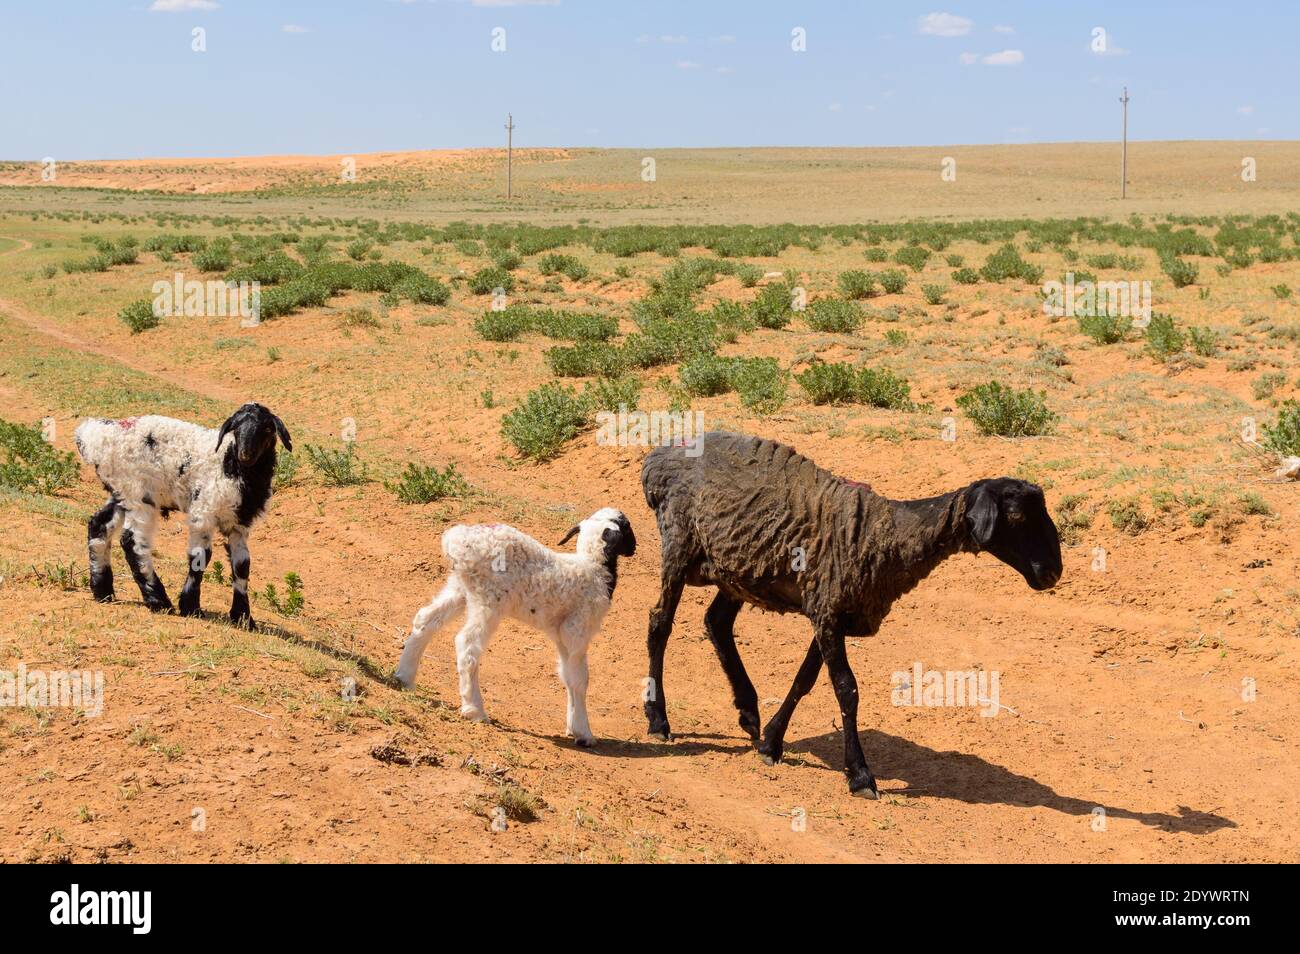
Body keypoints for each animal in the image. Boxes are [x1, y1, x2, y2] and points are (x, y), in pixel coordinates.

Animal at [74, 403, 292, 628]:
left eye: (267, 429)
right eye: (236, 427)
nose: (245, 454)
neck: (230, 463)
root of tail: (97, 436)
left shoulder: (239, 525)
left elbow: (242, 565)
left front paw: (243, 617)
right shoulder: (203, 512)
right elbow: (200, 556)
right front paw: (191, 606)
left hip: (121, 494)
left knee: (99, 525)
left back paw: (103, 591)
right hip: (138, 494)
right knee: (132, 543)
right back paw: (158, 600)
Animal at [394, 508, 636, 747]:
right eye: (626, 526)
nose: (634, 548)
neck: (594, 566)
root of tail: (457, 540)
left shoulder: (561, 636)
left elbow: (566, 675)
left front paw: (572, 726)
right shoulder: (577, 630)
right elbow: (580, 680)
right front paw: (584, 733)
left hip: (460, 589)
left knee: (425, 620)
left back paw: (404, 677)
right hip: (488, 599)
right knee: (467, 645)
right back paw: (474, 710)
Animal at [640, 431, 1062, 797]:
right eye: (1018, 517)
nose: (1052, 573)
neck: (884, 534)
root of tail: (658, 458)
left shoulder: (831, 610)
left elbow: (804, 681)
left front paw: (772, 742)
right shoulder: (828, 613)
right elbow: (847, 689)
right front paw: (859, 774)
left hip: (740, 567)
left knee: (716, 622)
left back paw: (748, 712)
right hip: (679, 544)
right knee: (660, 624)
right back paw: (658, 719)